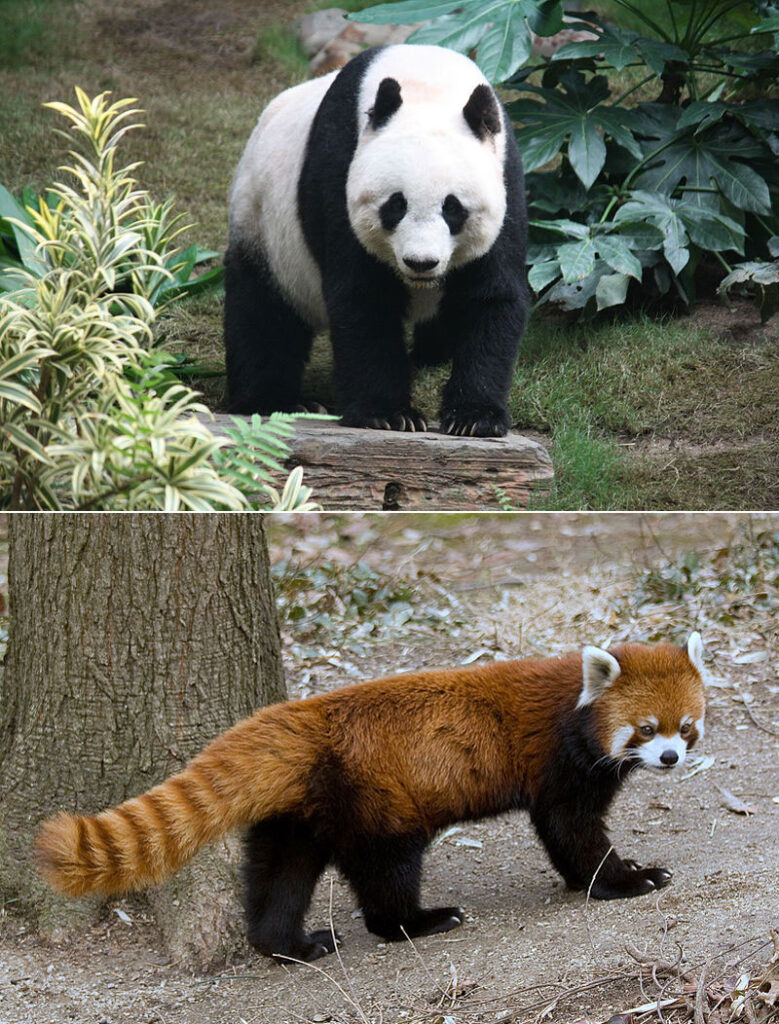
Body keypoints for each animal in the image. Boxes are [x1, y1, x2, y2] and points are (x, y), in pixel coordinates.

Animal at [224, 44, 528, 437]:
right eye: (396, 205)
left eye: (453, 208)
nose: (421, 262)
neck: (429, 84)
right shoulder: (339, 168)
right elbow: (365, 297)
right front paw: (388, 414)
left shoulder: (506, 178)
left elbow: (489, 296)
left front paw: (474, 417)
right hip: (263, 223)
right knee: (263, 313)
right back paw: (276, 401)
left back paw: (431, 356)